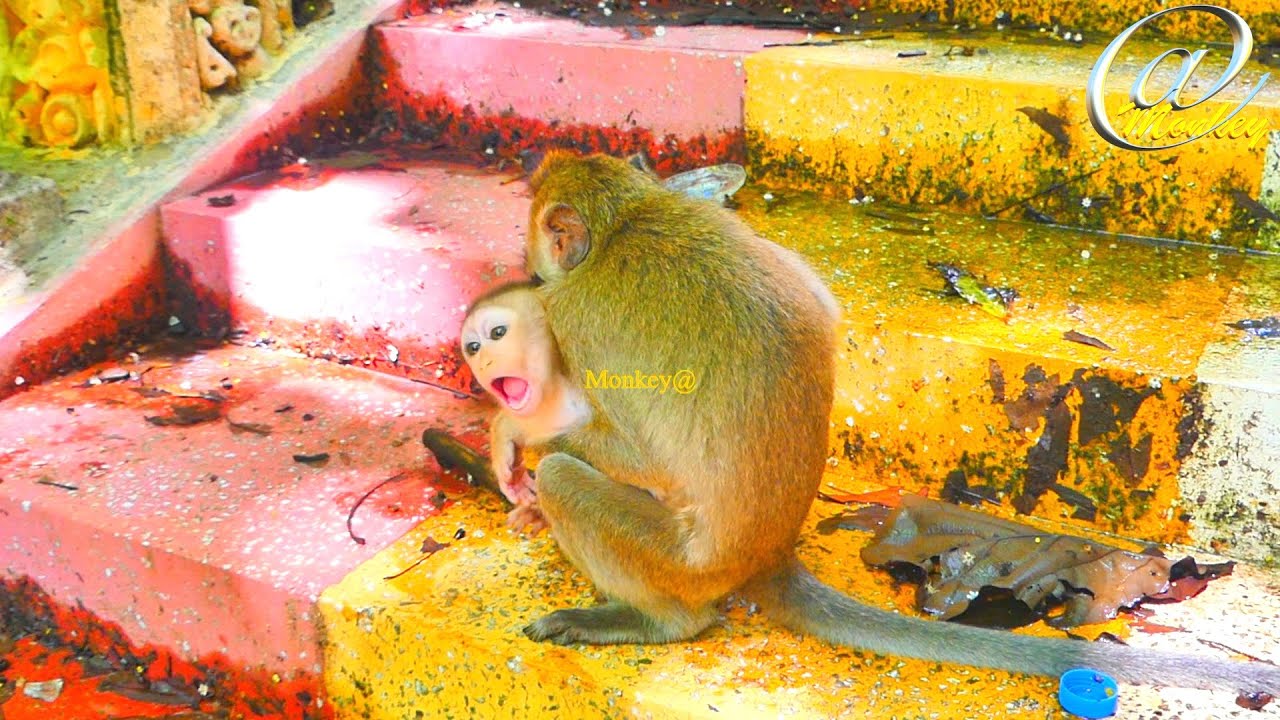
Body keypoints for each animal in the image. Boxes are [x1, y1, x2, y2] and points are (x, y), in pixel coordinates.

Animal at [513, 149, 1280, 696]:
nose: (526, 264)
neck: (629, 220)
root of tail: (768, 554)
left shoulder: (571, 314)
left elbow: (638, 454)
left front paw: (515, 437)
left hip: (678, 561)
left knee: (566, 480)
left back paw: (655, 616)